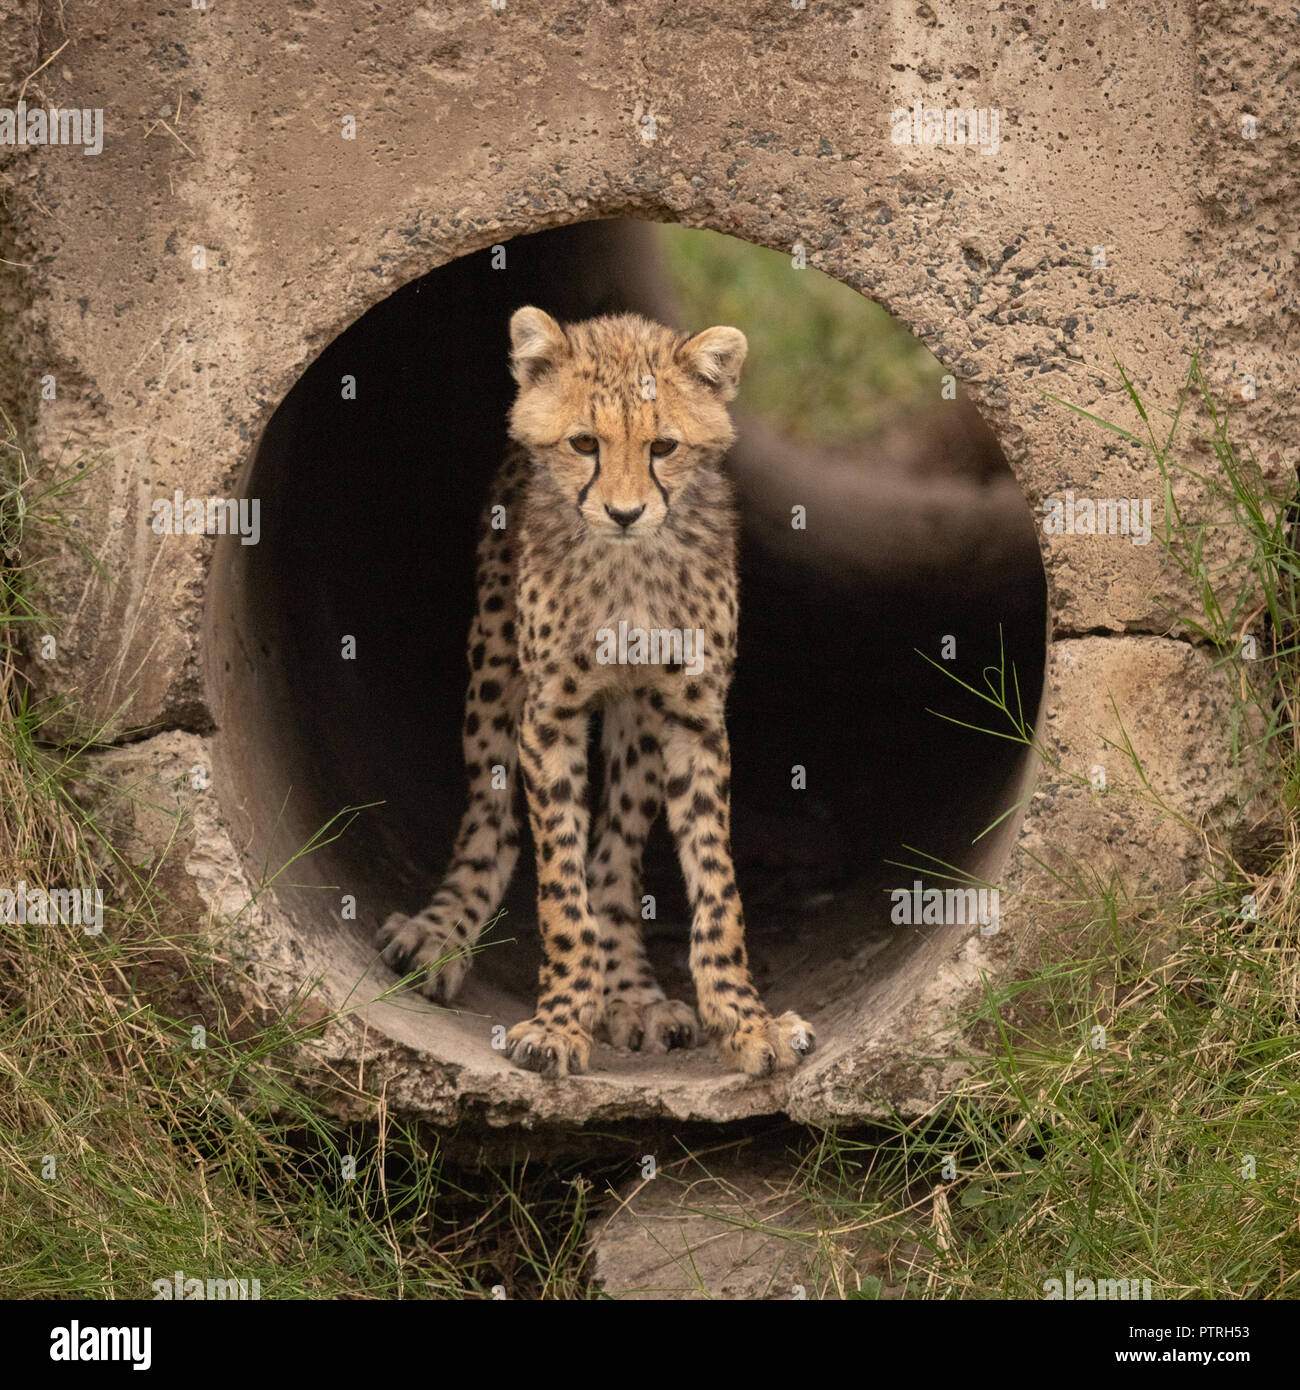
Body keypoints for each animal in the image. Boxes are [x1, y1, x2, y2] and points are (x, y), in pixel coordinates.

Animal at [375, 304, 815, 1080]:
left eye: (663, 446)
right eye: (584, 443)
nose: (625, 512)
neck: (628, 567)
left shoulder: (695, 721)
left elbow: (716, 885)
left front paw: (745, 1021)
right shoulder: (548, 717)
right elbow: (560, 885)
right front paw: (559, 1022)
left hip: (638, 722)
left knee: (616, 856)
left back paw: (634, 995)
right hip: (494, 670)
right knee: (491, 823)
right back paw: (443, 931)